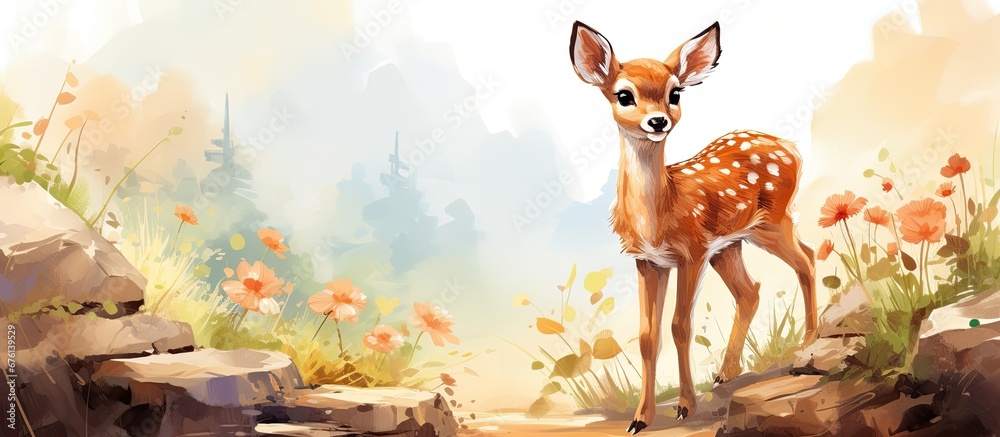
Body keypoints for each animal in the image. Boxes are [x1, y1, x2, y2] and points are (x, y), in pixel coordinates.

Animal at [569, 21, 817, 434]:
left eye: (675, 93)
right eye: (624, 95)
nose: (658, 121)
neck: (658, 216)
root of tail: (792, 148)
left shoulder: (692, 252)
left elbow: (680, 327)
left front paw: (686, 406)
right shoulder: (648, 261)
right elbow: (647, 336)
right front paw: (640, 418)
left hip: (771, 222)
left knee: (807, 259)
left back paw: (809, 342)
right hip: (731, 245)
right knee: (751, 291)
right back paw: (725, 372)